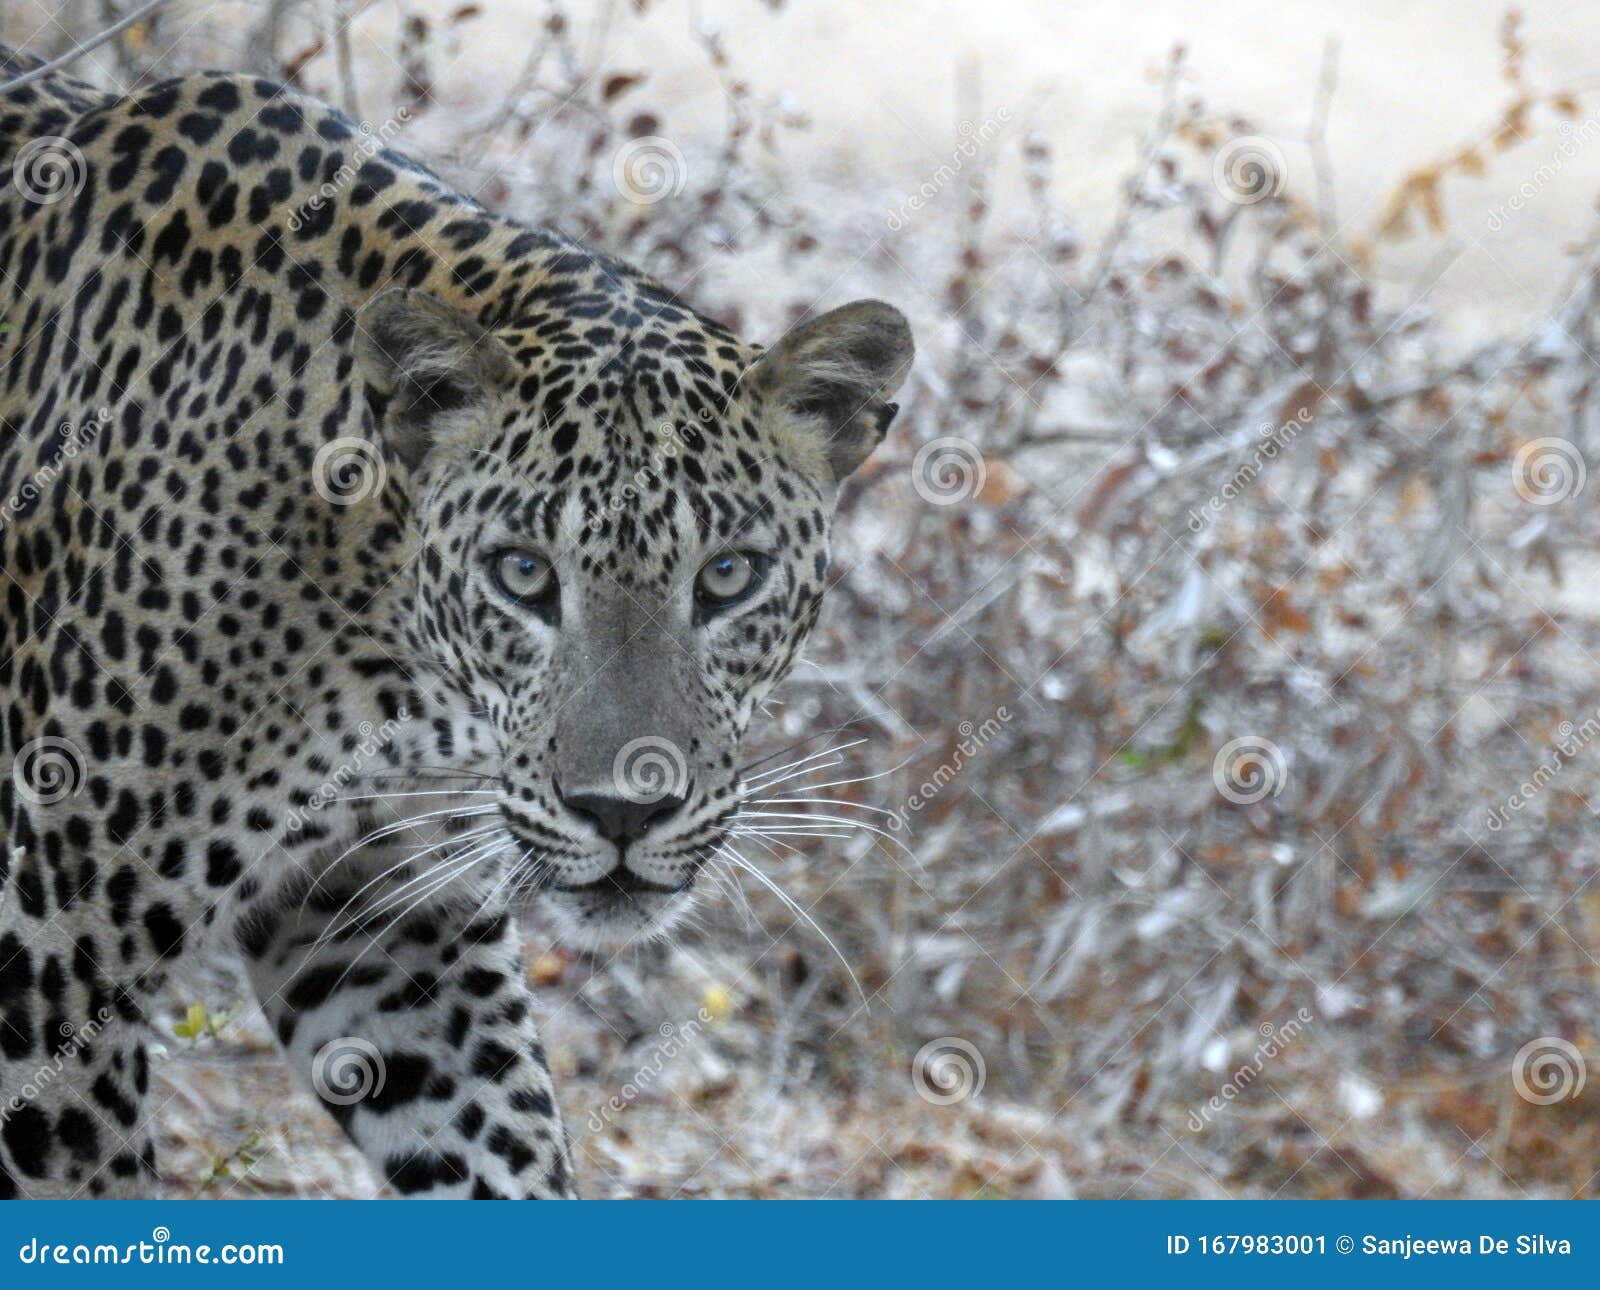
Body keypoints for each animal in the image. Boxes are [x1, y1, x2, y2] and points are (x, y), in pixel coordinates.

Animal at [0, 46, 911, 1198]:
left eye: (728, 578)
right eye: (522, 575)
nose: (624, 814)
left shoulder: (387, 923)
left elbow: (504, 1151)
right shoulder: (51, 953)